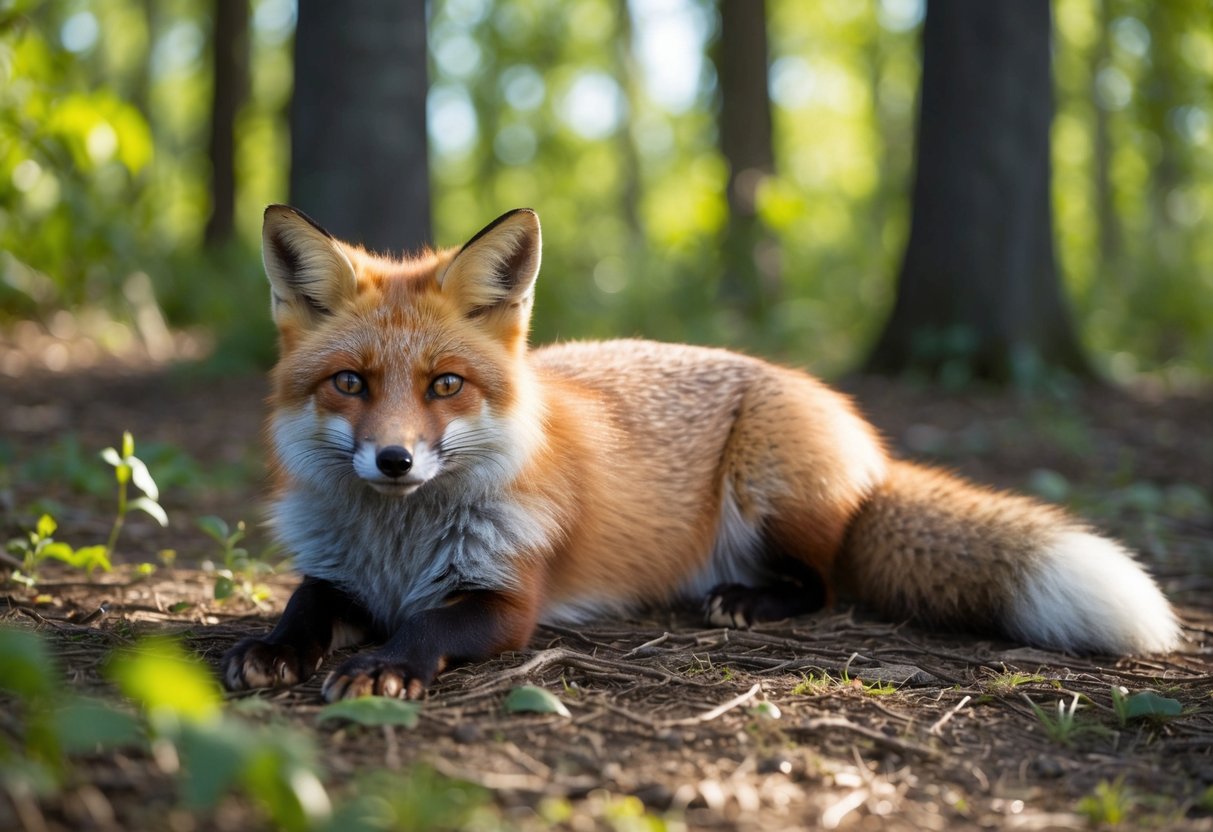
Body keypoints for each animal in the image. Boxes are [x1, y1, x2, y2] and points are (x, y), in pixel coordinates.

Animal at [221, 205, 1181, 701]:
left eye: (445, 385)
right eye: (350, 383)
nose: (394, 462)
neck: (399, 547)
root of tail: (861, 437)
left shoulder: (505, 601)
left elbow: (426, 627)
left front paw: (382, 664)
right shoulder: (339, 576)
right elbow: (302, 607)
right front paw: (276, 650)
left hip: (768, 487)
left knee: (825, 585)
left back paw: (744, 601)